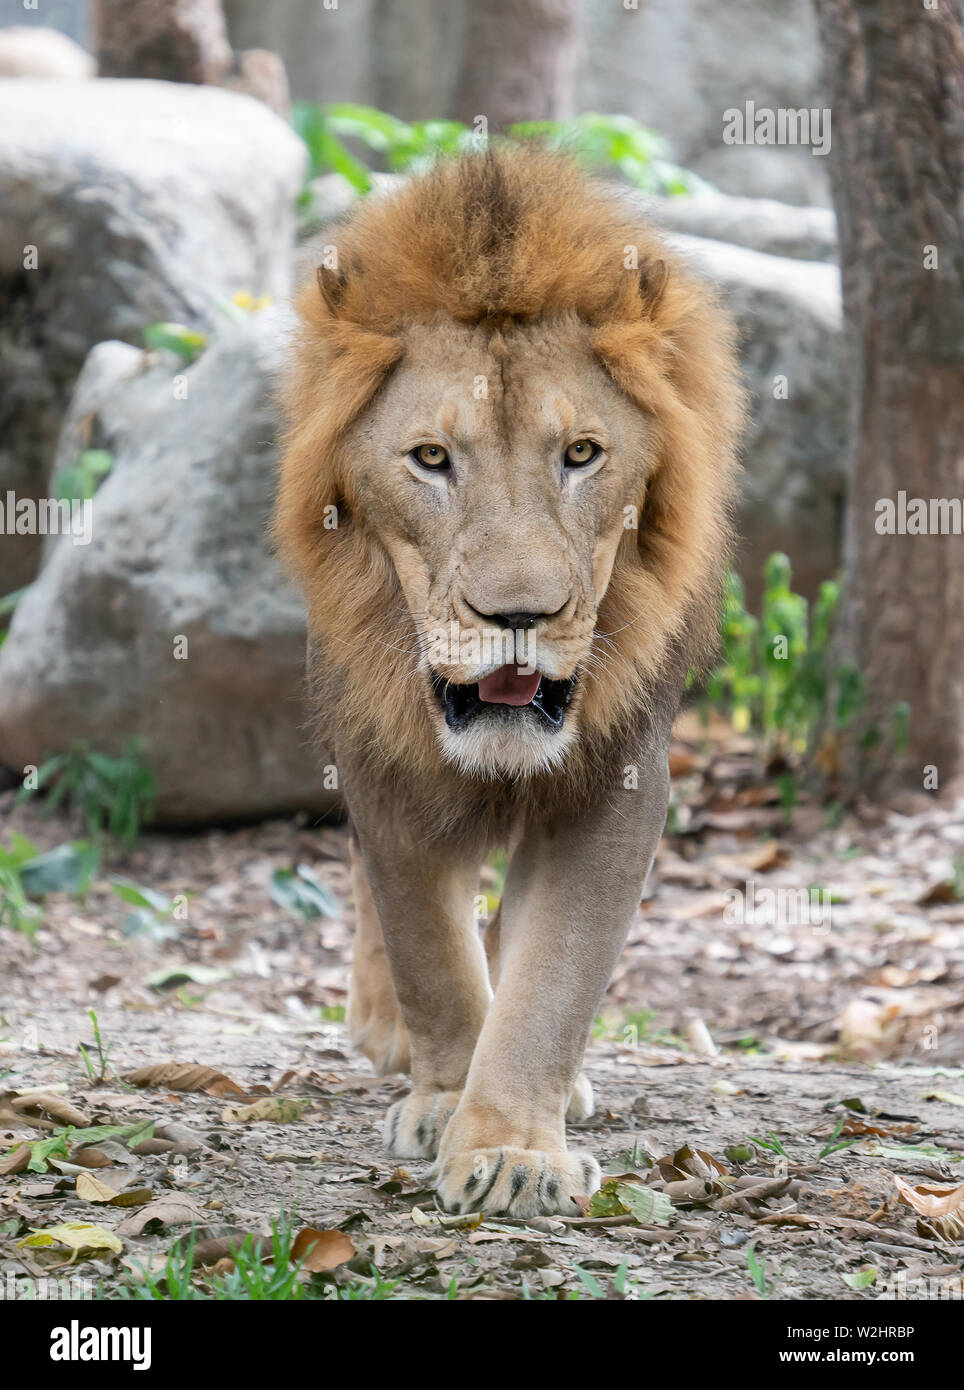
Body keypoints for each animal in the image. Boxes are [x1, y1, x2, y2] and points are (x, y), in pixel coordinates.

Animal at [275, 147, 743, 1217]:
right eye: (431, 458)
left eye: (582, 454)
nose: (518, 617)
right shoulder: (381, 766)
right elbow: (430, 953)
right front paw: (447, 1100)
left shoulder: (615, 783)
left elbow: (554, 973)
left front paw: (514, 1149)